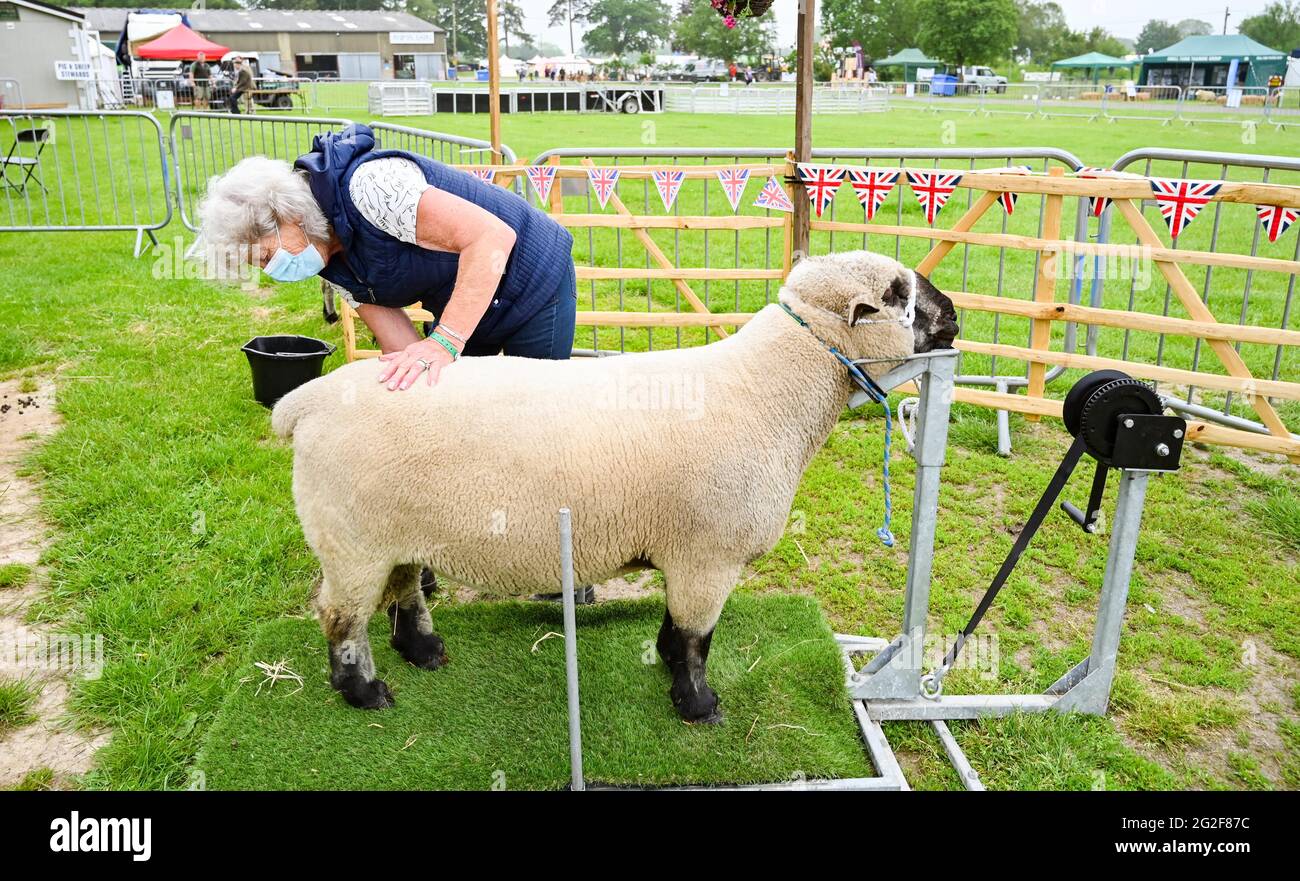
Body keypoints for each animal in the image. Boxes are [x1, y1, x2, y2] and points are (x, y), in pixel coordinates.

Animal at [272, 251, 959, 722]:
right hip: (350, 540)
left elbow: (676, 627)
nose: (954, 313)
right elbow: (698, 638)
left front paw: (667, 668)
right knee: (341, 618)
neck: (768, 392)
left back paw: (422, 650)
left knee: (404, 588)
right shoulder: (709, 554)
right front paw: (698, 705)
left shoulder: (687, 552)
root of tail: (303, 403)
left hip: (393, 531)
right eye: (899, 294)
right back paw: (364, 691)